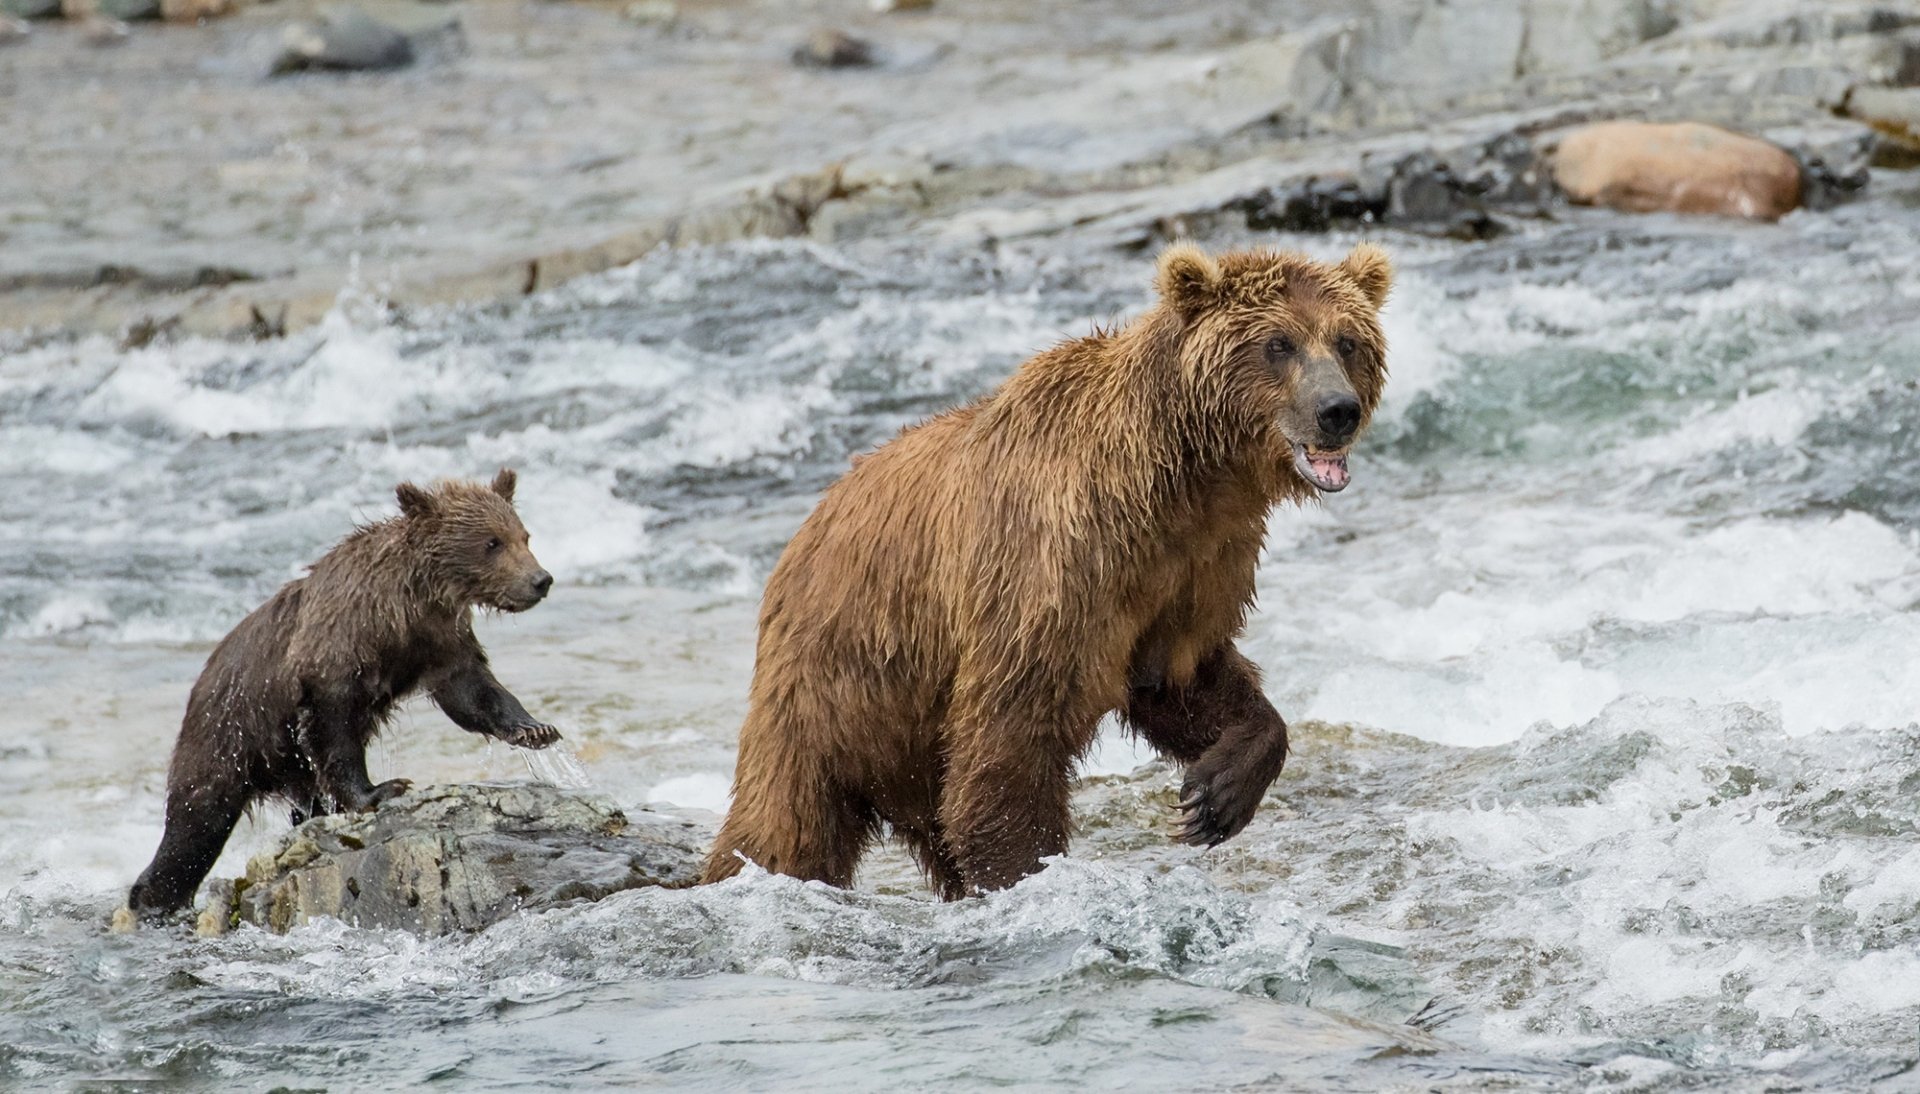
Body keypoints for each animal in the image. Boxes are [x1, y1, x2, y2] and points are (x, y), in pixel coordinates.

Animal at [126, 469, 561, 919]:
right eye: (492, 543)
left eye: (523, 536)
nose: (540, 580)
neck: (407, 605)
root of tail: (201, 679)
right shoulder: (336, 655)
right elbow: (335, 730)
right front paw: (381, 789)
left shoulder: (438, 641)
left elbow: (472, 692)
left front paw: (534, 729)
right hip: (229, 732)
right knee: (197, 819)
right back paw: (154, 897)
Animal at [702, 242, 1393, 898]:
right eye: (1278, 343)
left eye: (1347, 340)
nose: (1337, 409)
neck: (1173, 484)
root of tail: (805, 529)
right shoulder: (1050, 565)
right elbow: (1010, 741)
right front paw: (1025, 870)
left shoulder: (1193, 569)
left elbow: (1183, 674)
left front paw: (1213, 797)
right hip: (837, 679)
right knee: (786, 822)